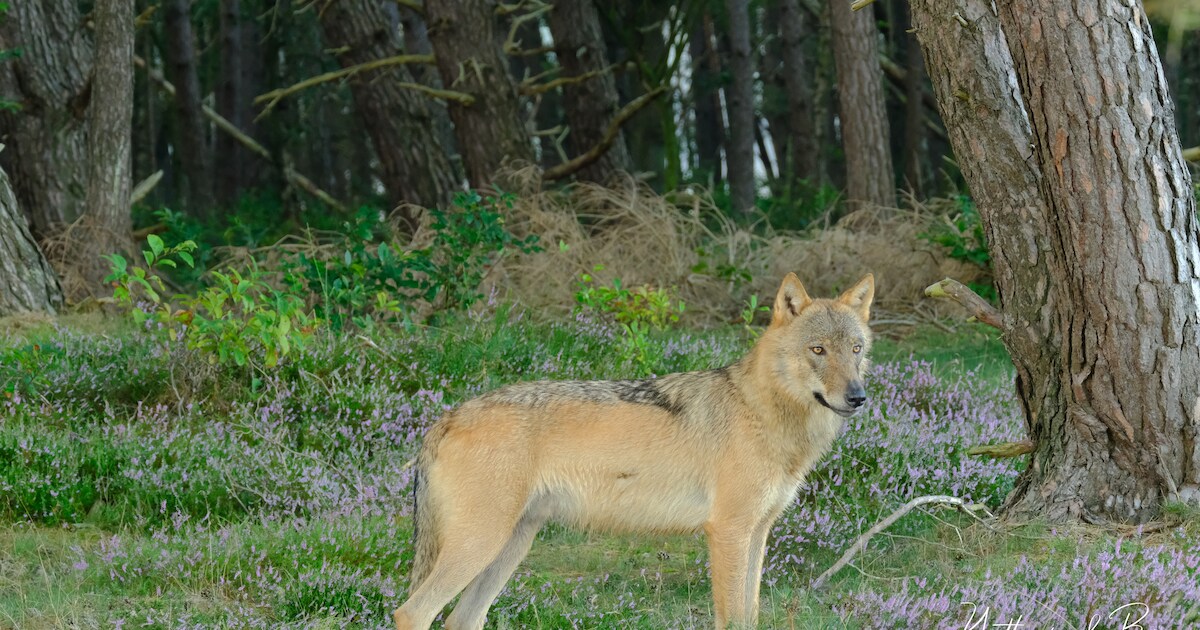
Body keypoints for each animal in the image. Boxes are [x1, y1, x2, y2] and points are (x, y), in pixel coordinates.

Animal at [392, 273, 875, 630]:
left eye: (855, 349)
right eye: (817, 350)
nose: (857, 397)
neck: (761, 411)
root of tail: (445, 417)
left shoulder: (757, 533)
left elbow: (750, 617)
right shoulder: (728, 532)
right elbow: (732, 619)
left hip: (507, 551)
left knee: (459, 620)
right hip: (481, 546)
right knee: (411, 612)